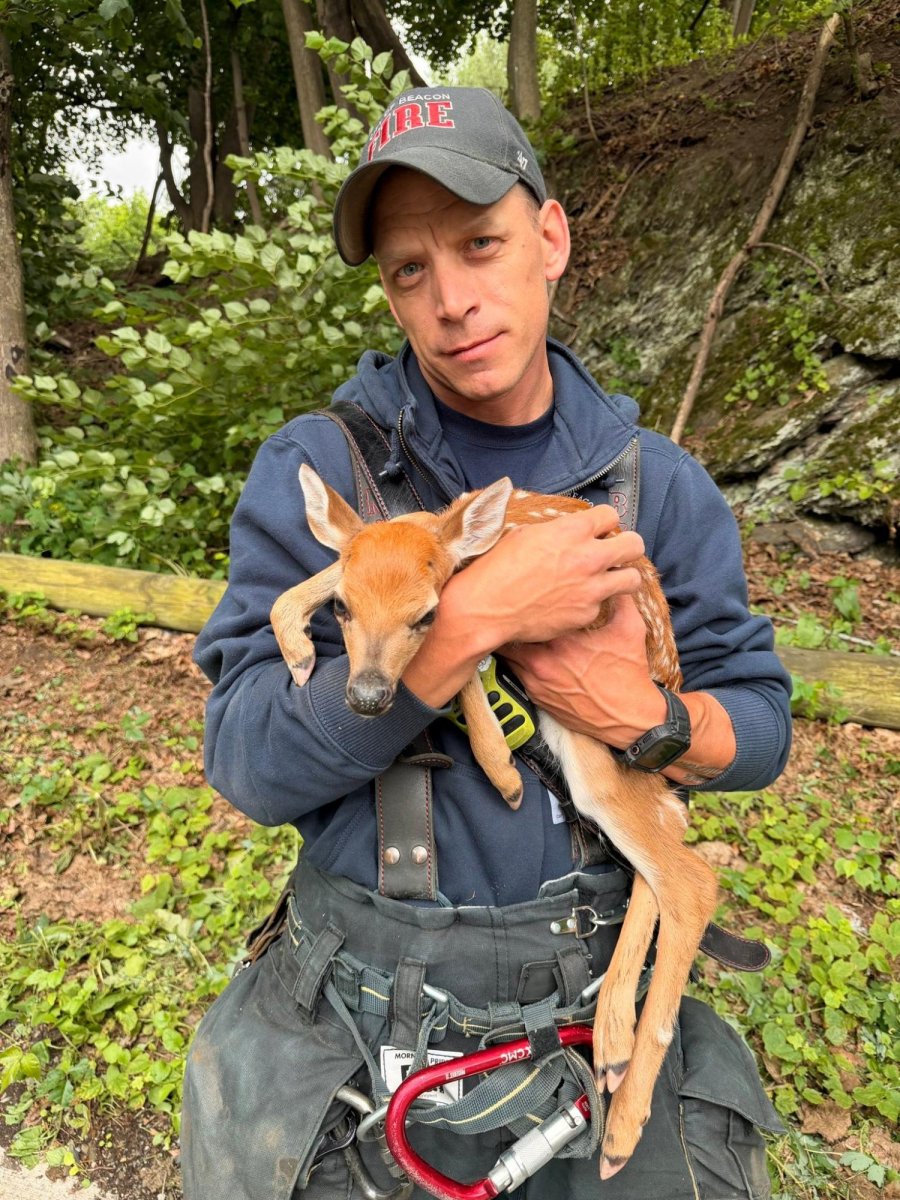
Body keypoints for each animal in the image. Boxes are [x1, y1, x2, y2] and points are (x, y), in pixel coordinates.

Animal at [270, 465, 720, 1182]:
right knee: (662, 853)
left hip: (597, 750)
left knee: (691, 877)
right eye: (343, 609)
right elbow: (309, 581)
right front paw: (296, 648)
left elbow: (470, 659)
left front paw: (503, 774)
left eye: (427, 615)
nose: (366, 695)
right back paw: (612, 1045)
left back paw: (621, 1128)